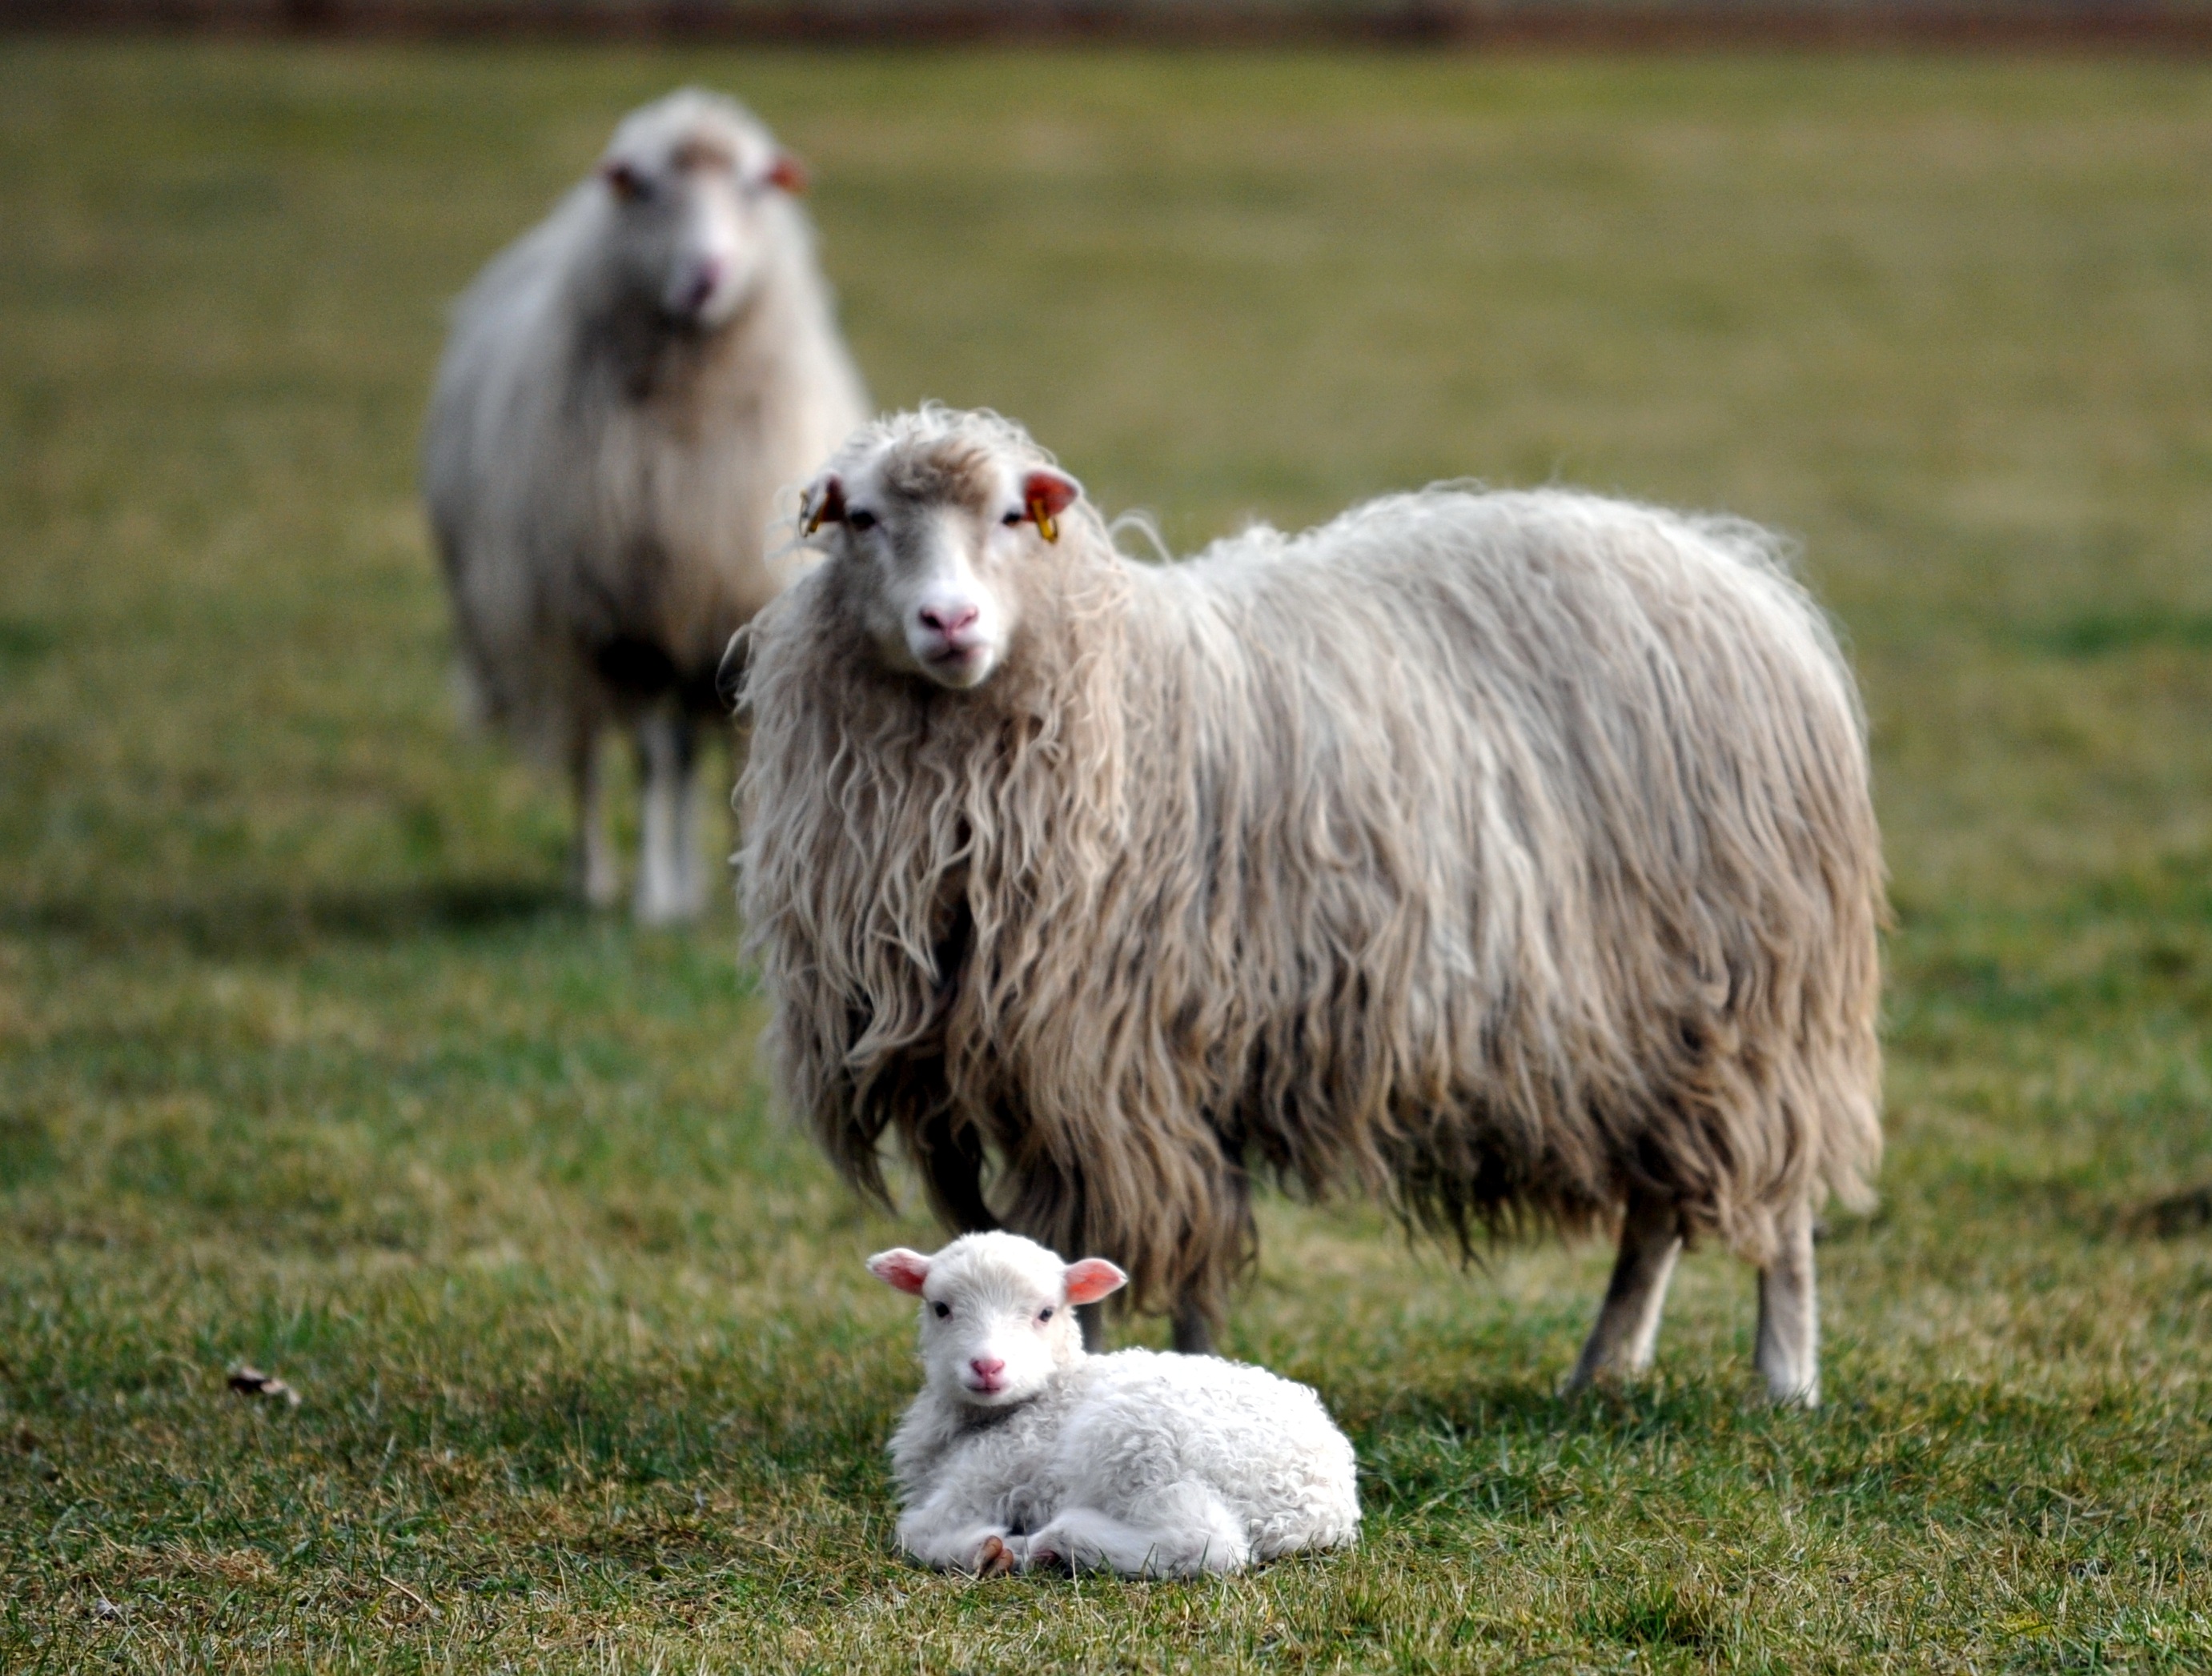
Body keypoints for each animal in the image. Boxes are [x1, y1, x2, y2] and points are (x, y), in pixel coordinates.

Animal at [423, 88, 868, 924]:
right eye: (650, 190)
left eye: (754, 189)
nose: (707, 275)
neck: (691, 413)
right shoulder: (617, 620)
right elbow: (650, 764)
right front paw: (652, 899)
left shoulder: (731, 610)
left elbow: (730, 762)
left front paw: (735, 892)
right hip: (570, 638)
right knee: (592, 759)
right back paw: (596, 877)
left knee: (683, 754)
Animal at [738, 406, 1884, 1407]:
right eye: (863, 519)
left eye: (1016, 518)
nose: (950, 620)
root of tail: (1738, 574)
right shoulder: (1090, 1067)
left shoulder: (1113, 1066)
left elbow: (1097, 1269)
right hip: (1652, 1031)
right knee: (1654, 1215)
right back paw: (1604, 1370)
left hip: (1751, 1003)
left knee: (1779, 1213)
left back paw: (1786, 1381)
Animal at [870, 1231, 1361, 1577]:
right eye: (940, 1308)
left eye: (1046, 1313)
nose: (988, 1366)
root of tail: (1318, 1512)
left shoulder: (989, 1475)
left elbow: (913, 1533)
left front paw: (985, 1550)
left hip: (1141, 1446)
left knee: (1208, 1544)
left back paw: (1055, 1541)